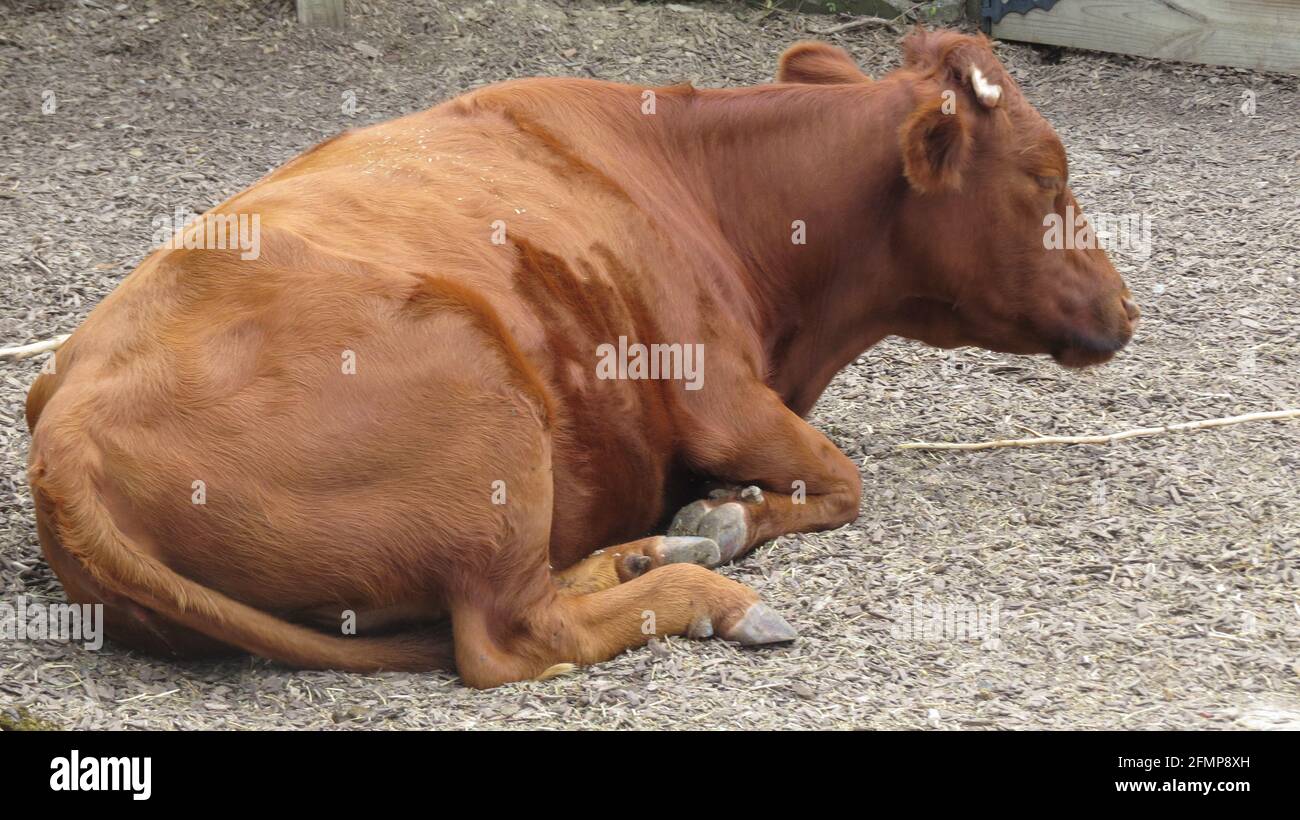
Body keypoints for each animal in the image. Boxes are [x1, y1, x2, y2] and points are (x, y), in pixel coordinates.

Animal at [24, 29, 1137, 688]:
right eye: (1046, 178)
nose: (1127, 306)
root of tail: (68, 426)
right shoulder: (723, 393)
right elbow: (841, 478)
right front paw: (727, 518)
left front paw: (702, 524)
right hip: (487, 408)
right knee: (514, 635)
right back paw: (706, 591)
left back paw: (642, 553)